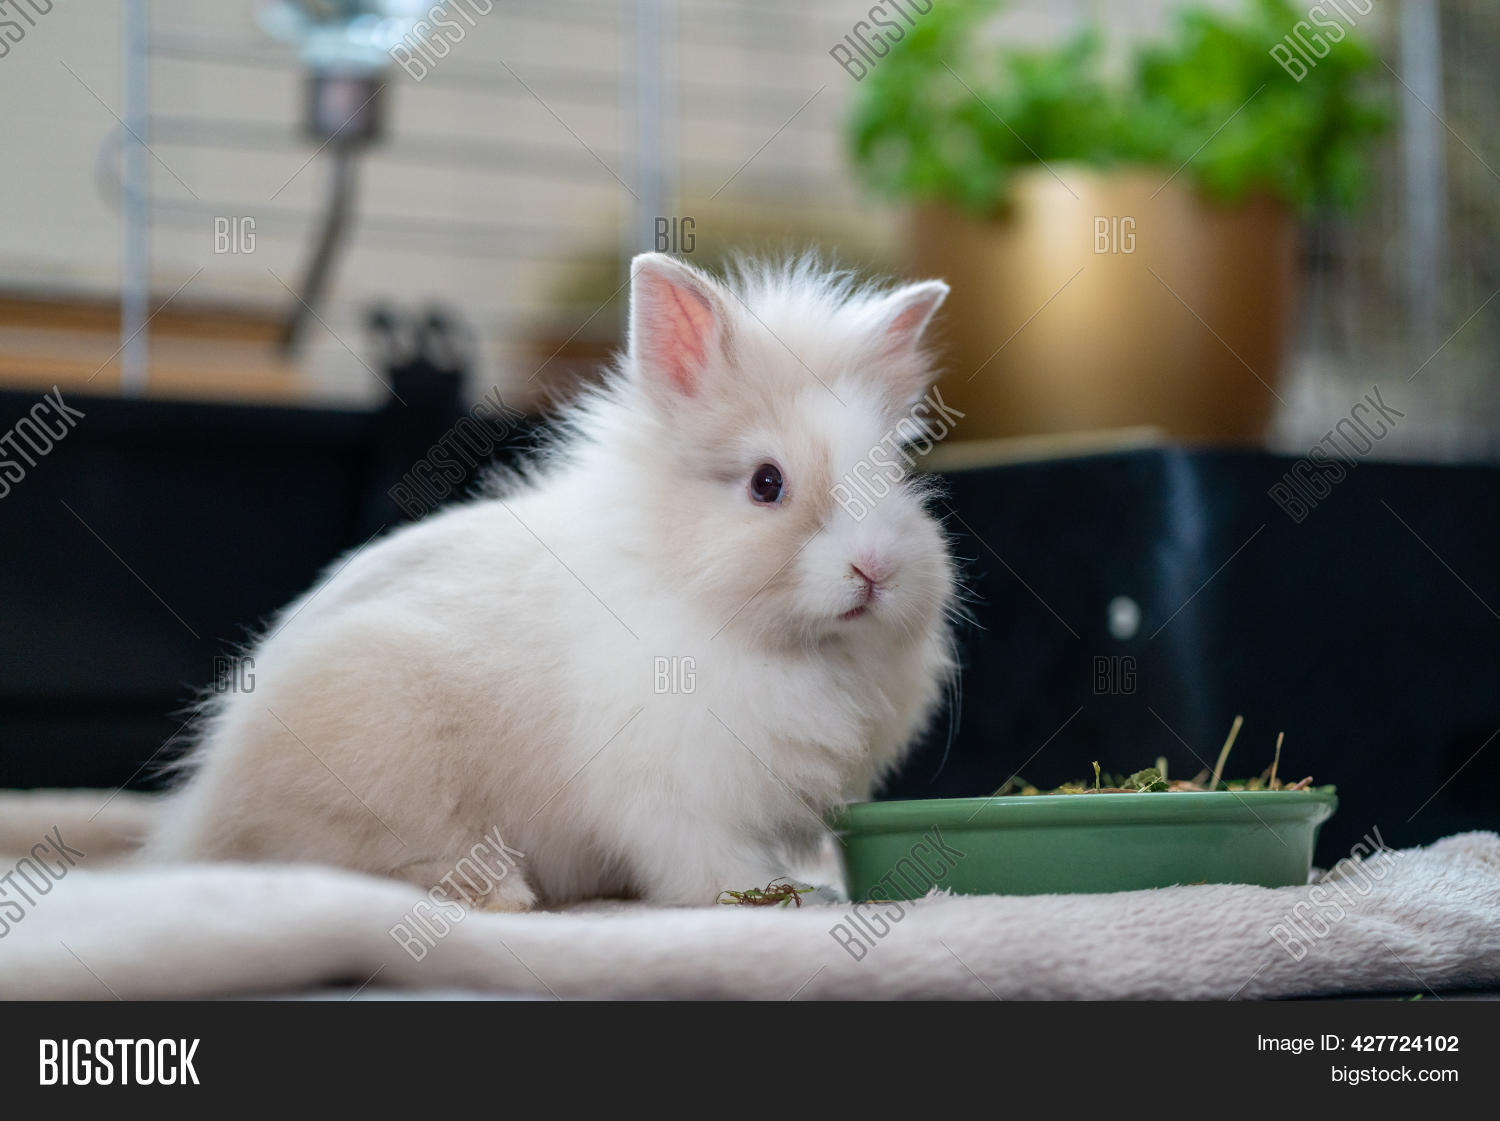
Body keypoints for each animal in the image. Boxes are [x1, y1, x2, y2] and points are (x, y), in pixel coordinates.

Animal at [142, 253, 958, 909]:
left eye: (893, 474)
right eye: (767, 483)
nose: (875, 570)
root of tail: (204, 814)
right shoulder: (679, 795)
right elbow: (705, 861)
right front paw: (771, 894)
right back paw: (506, 894)